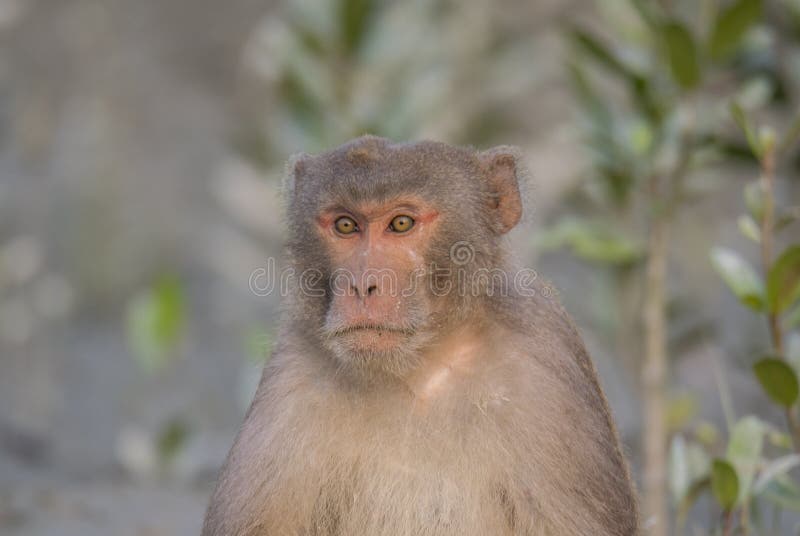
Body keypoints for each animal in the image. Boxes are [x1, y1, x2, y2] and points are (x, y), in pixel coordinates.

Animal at [203, 136, 639, 535]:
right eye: (346, 225)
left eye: (401, 224)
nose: (363, 285)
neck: (420, 370)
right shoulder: (292, 375)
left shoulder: (547, 356)